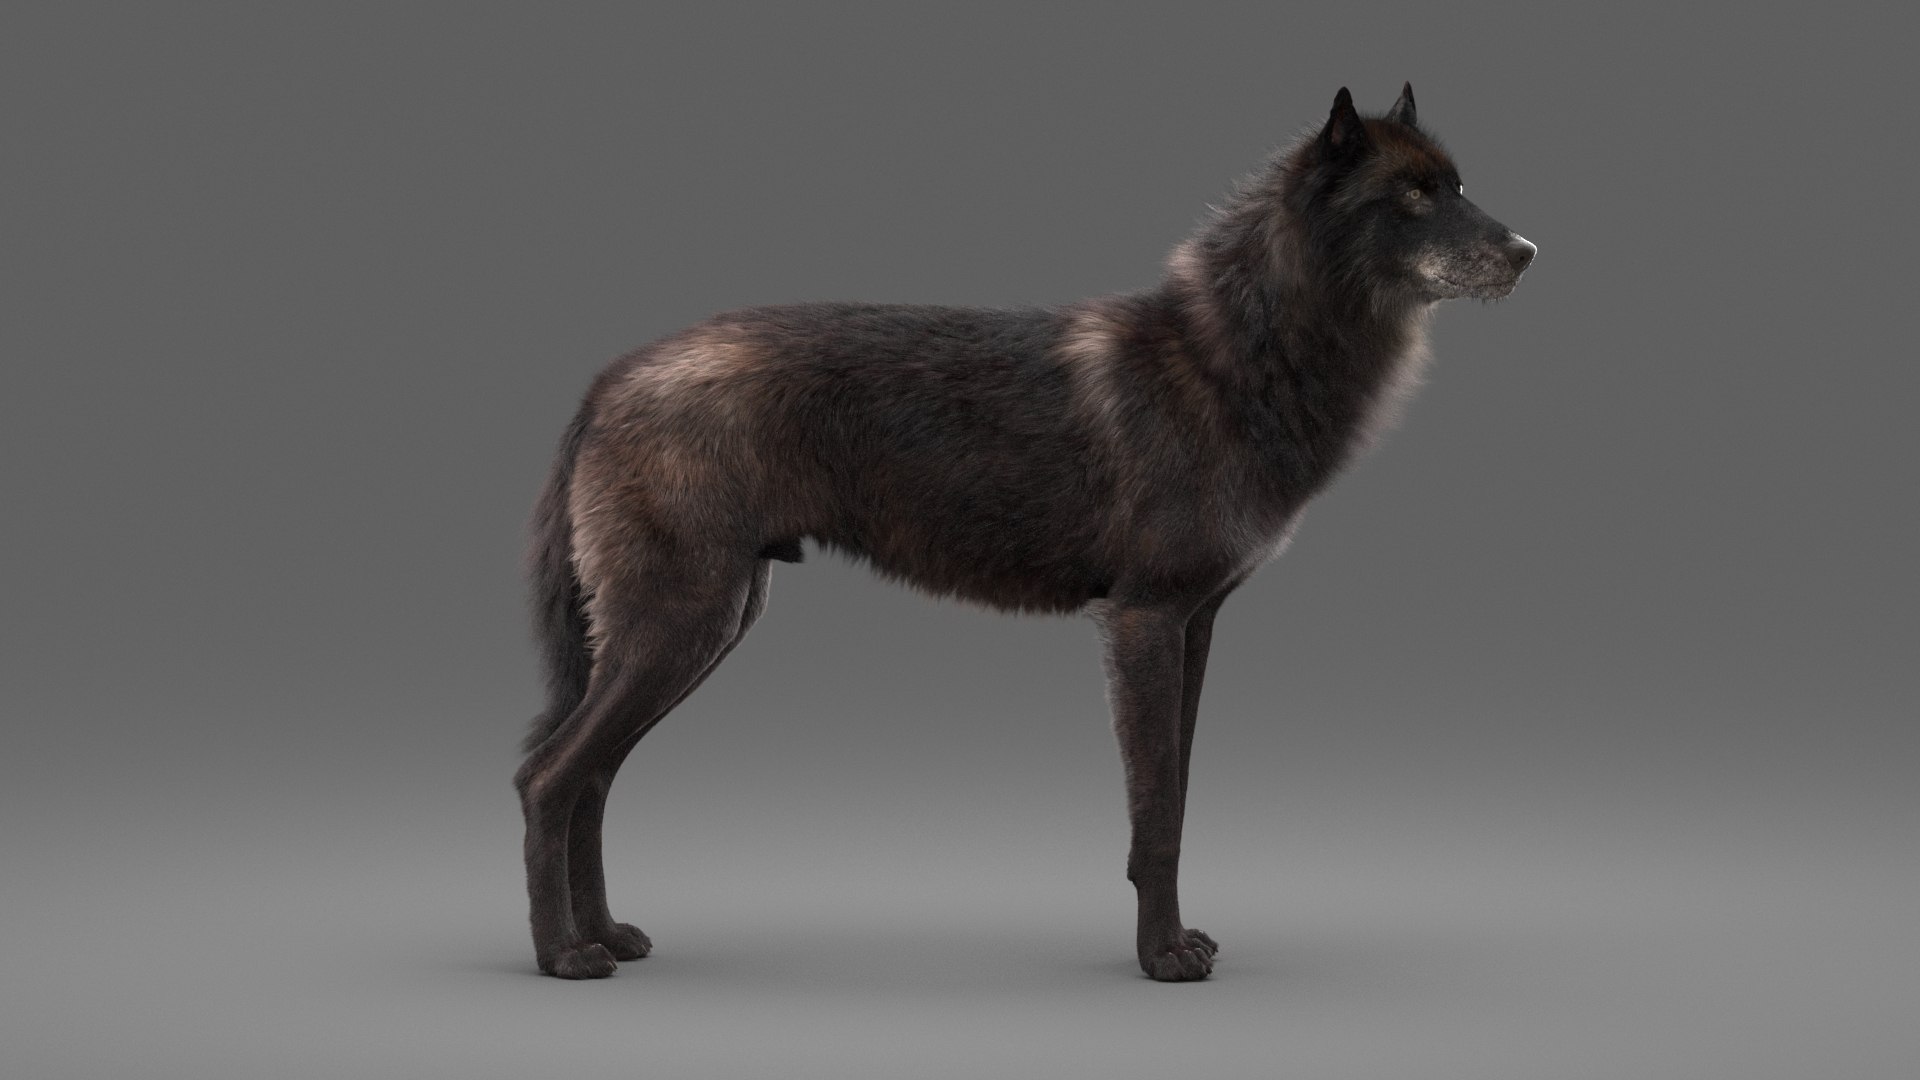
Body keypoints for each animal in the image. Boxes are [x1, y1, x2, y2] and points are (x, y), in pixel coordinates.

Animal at [513, 84, 1535, 981]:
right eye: (1412, 196)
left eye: (1458, 185)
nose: (1529, 250)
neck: (1237, 359)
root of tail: (607, 380)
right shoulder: (1145, 625)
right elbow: (1157, 818)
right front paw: (1162, 960)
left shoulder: (1196, 627)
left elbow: (1177, 801)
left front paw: (1172, 940)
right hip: (681, 630)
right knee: (548, 777)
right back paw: (564, 956)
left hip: (699, 633)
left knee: (590, 780)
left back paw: (606, 936)